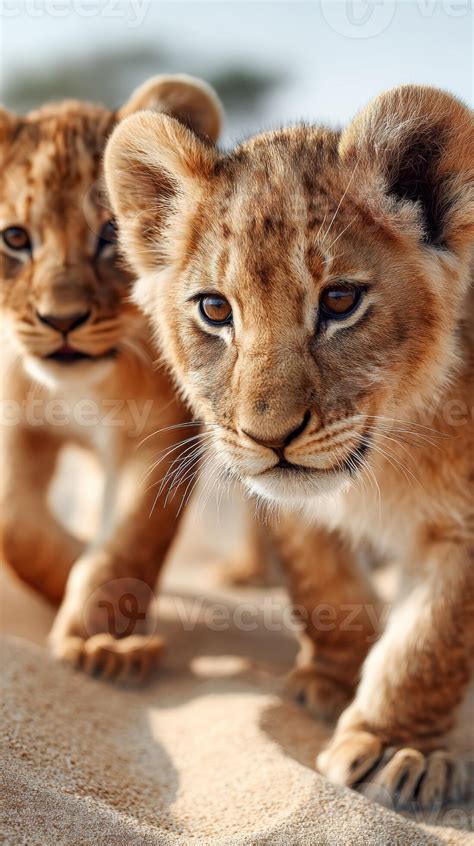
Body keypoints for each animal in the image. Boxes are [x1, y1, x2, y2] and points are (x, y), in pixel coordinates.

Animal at [0, 74, 223, 680]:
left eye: (109, 236)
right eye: (14, 239)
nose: (62, 320)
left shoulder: (158, 437)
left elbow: (129, 538)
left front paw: (100, 642)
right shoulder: (15, 430)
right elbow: (17, 524)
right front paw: (69, 574)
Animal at [104, 85, 474, 806]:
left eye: (340, 301)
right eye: (215, 310)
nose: (269, 436)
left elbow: (430, 641)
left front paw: (399, 747)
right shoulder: (292, 505)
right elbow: (324, 585)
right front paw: (337, 681)